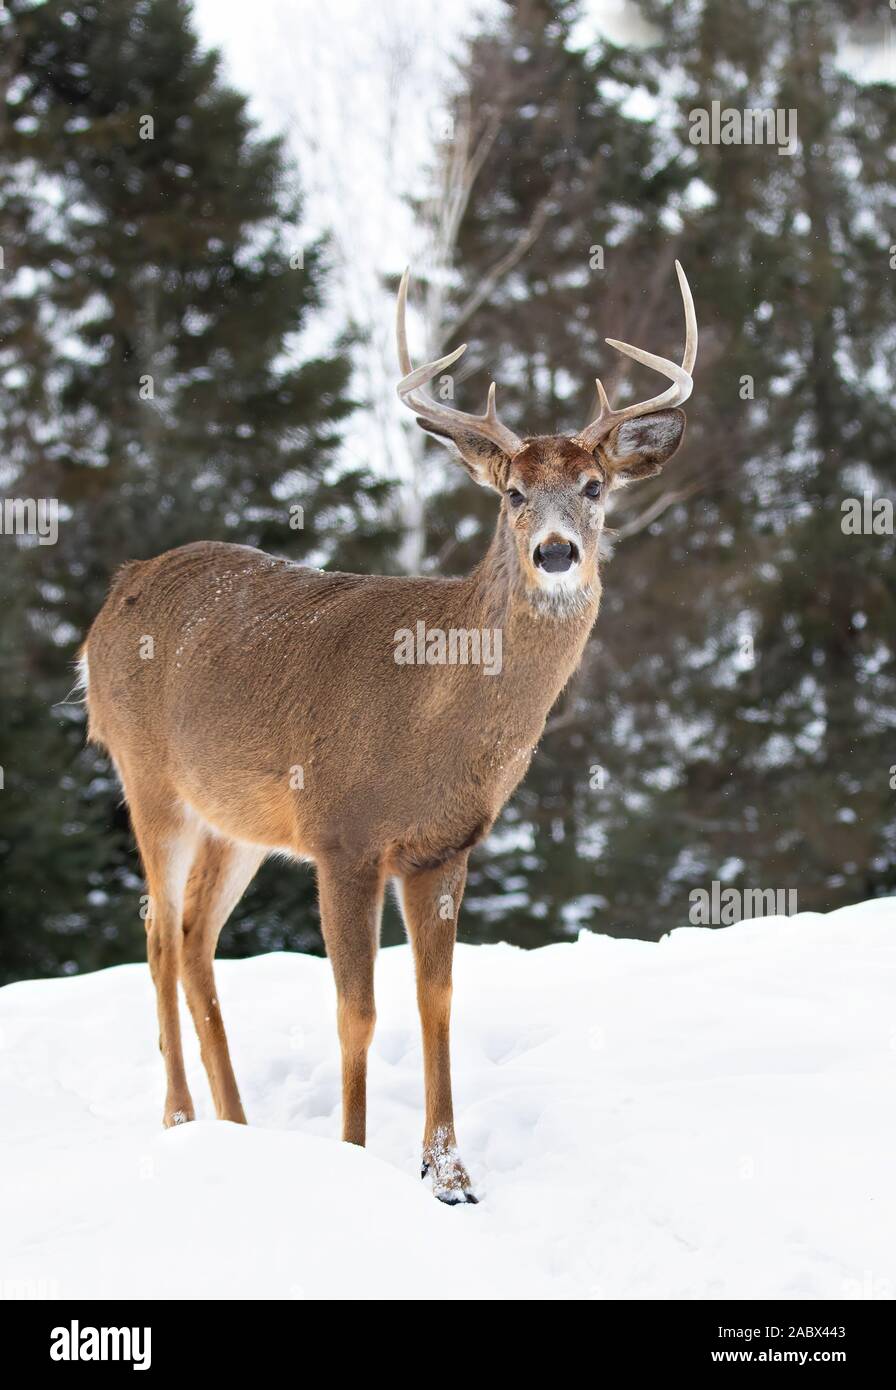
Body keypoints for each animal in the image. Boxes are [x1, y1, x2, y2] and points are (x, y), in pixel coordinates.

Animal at [81, 261, 697, 1203]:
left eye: (595, 489)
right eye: (514, 494)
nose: (556, 553)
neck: (430, 713)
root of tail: (110, 602)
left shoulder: (444, 847)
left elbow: (434, 1003)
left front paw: (449, 1173)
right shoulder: (343, 836)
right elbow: (356, 1011)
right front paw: (353, 1156)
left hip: (237, 821)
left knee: (193, 941)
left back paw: (237, 1124)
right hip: (149, 780)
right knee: (155, 936)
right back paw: (182, 1119)